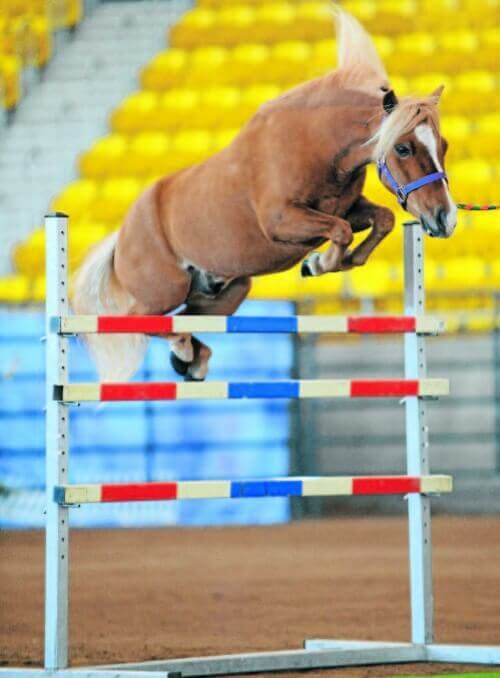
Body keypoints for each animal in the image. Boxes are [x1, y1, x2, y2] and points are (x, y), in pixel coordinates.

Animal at [73, 7, 457, 382]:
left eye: (444, 145)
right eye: (403, 148)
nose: (446, 219)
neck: (318, 143)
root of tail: (121, 237)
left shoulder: (346, 207)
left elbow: (382, 219)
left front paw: (328, 262)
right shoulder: (283, 221)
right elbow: (341, 231)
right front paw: (317, 264)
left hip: (228, 291)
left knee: (185, 318)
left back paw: (193, 360)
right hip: (163, 291)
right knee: (142, 321)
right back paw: (184, 350)